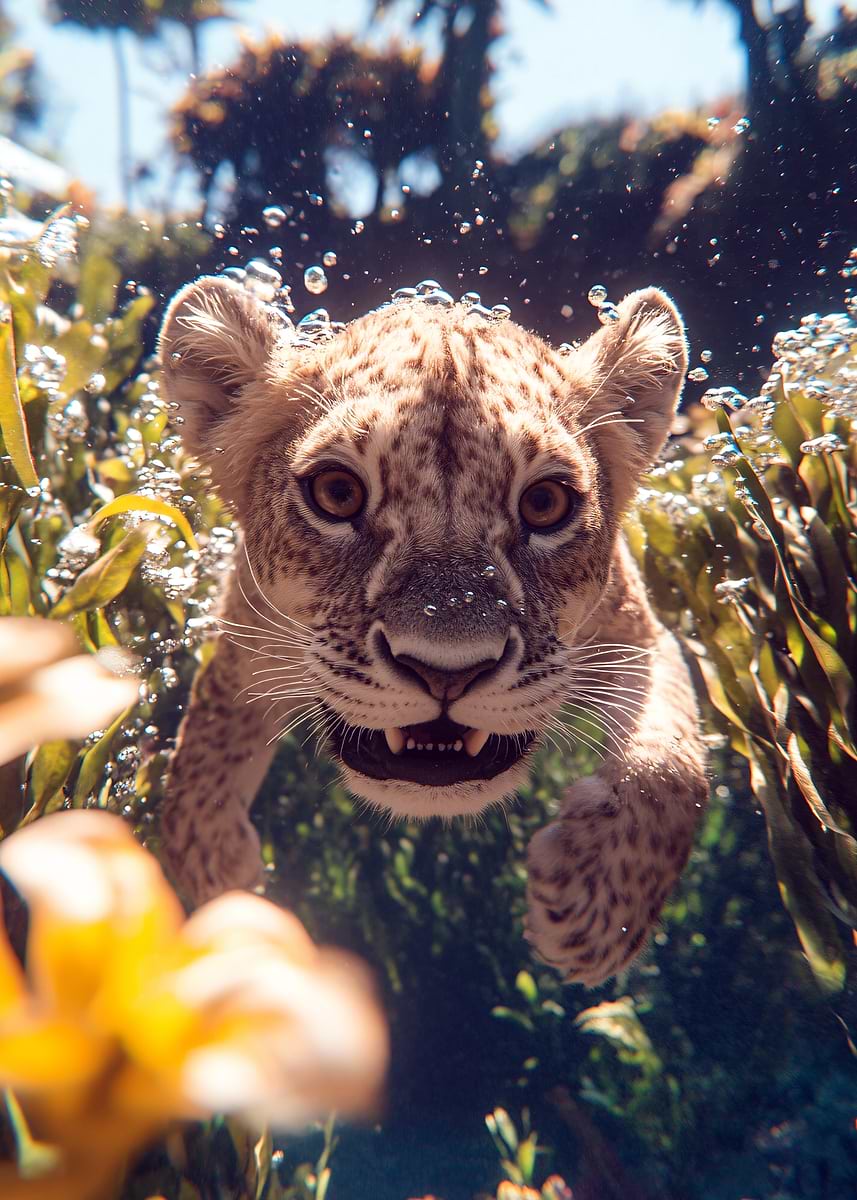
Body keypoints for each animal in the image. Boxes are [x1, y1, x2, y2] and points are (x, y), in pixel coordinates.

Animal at [157, 275, 708, 987]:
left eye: (545, 504)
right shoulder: (239, 638)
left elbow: (672, 766)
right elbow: (194, 770)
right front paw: (224, 879)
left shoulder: (639, 634)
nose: (447, 672)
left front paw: (592, 913)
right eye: (337, 493)